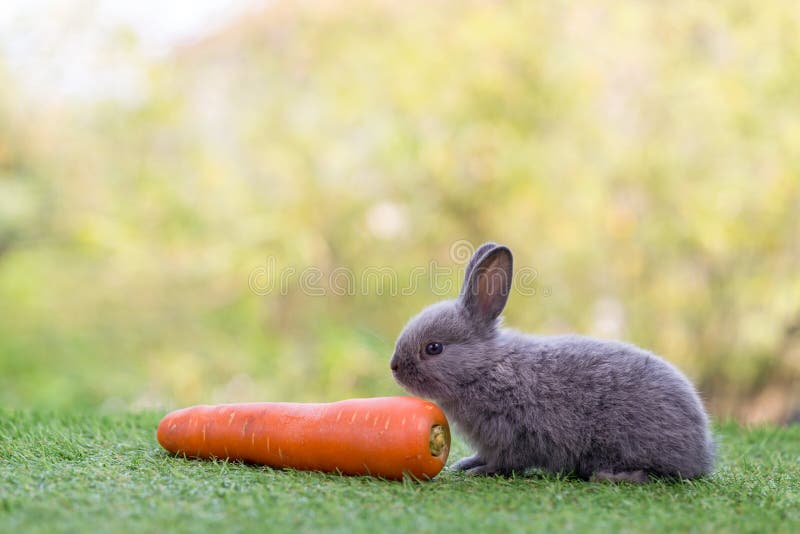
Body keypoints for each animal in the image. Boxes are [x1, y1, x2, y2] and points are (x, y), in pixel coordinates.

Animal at [390, 242, 715, 482]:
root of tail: (701, 453)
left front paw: (481, 471)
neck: (485, 367)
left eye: (434, 348)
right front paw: (467, 464)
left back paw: (611, 476)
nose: (394, 367)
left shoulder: (510, 433)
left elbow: (506, 462)